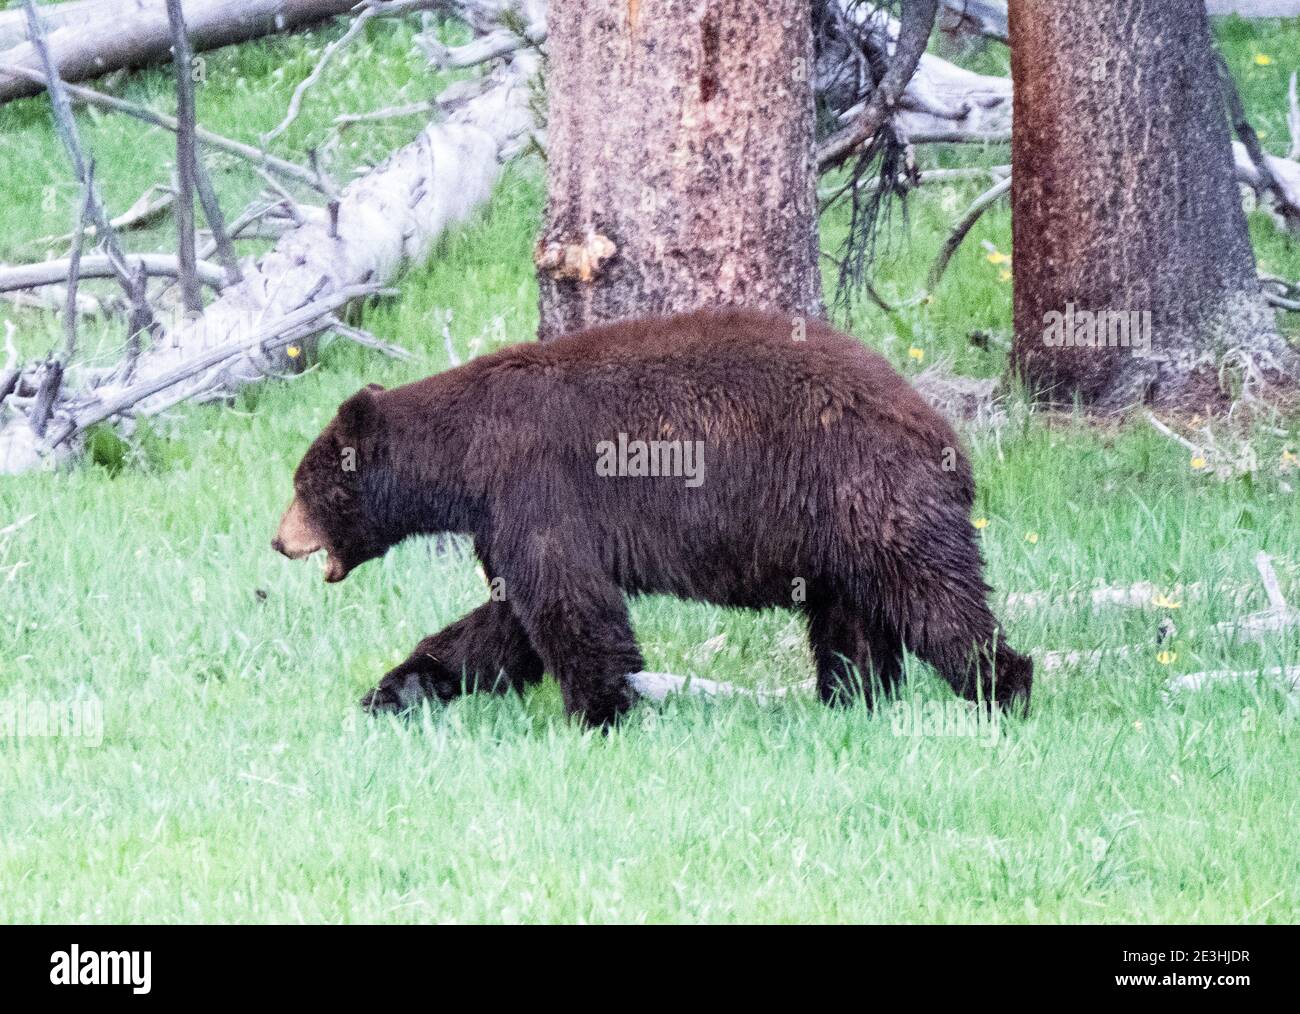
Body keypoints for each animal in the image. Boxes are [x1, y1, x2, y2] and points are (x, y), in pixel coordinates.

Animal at [272, 308, 1032, 726]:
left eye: (303, 485)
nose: (278, 541)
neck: (463, 454)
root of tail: (944, 435)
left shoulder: (533, 485)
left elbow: (566, 603)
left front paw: (600, 714)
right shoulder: (501, 514)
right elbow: (504, 621)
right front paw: (398, 688)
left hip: (867, 492)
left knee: (936, 600)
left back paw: (1005, 688)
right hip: (833, 535)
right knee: (852, 622)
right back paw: (855, 699)